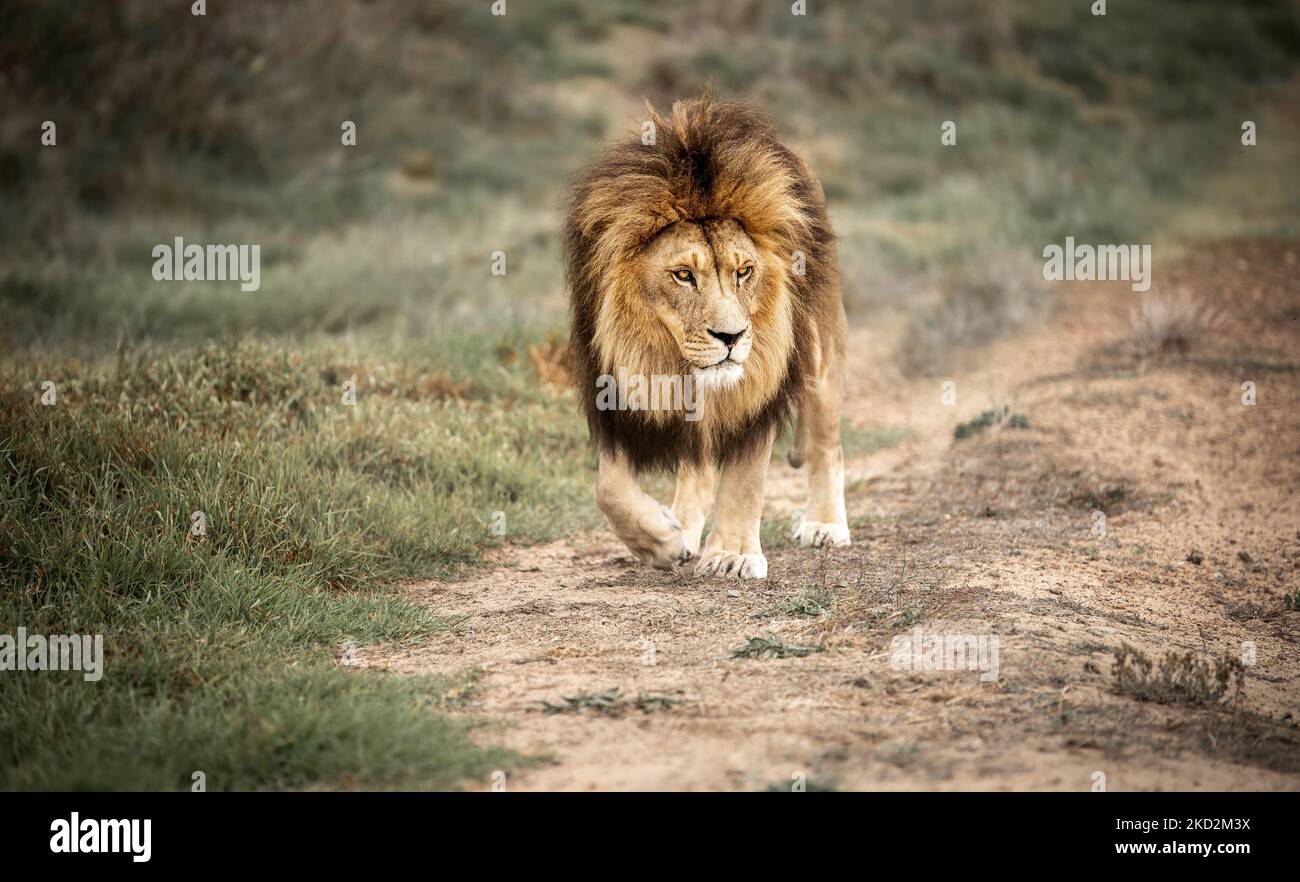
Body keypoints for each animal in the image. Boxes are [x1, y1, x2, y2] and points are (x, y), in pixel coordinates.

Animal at [563, 96, 849, 580]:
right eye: (683, 275)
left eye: (744, 271)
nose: (731, 337)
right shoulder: (612, 390)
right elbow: (608, 487)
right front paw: (662, 540)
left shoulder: (761, 381)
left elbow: (745, 478)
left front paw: (732, 555)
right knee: (695, 465)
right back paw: (682, 524)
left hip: (819, 347)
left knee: (827, 439)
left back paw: (825, 525)